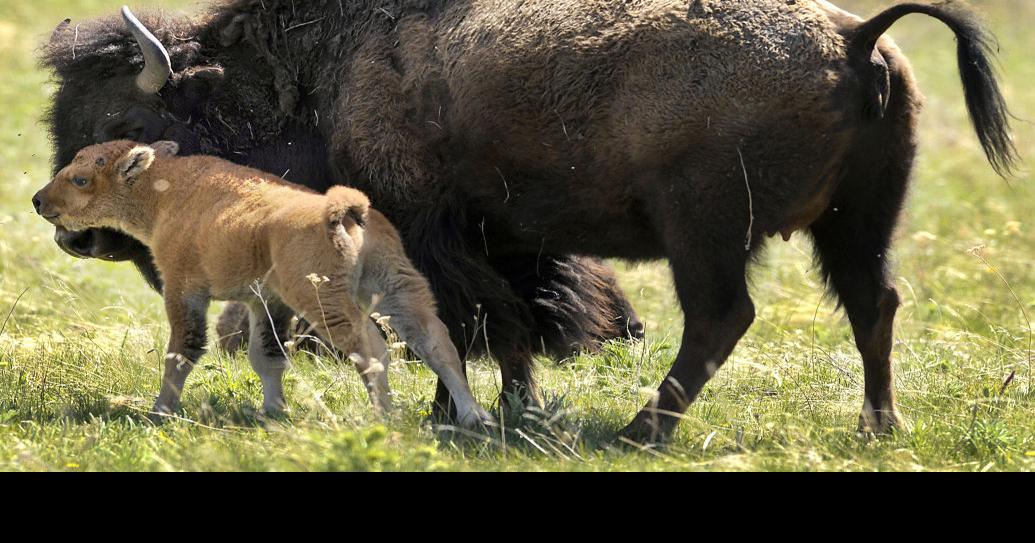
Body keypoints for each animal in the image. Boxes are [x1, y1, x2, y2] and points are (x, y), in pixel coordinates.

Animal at [42, 0, 1016, 441]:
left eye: (117, 124)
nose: (66, 233)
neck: (320, 65)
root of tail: (856, 38)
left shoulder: (436, 233)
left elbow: (464, 321)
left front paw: (463, 411)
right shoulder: (505, 241)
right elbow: (509, 322)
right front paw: (509, 406)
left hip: (702, 231)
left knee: (722, 316)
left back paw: (641, 430)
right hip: (856, 223)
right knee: (871, 305)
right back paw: (877, 426)